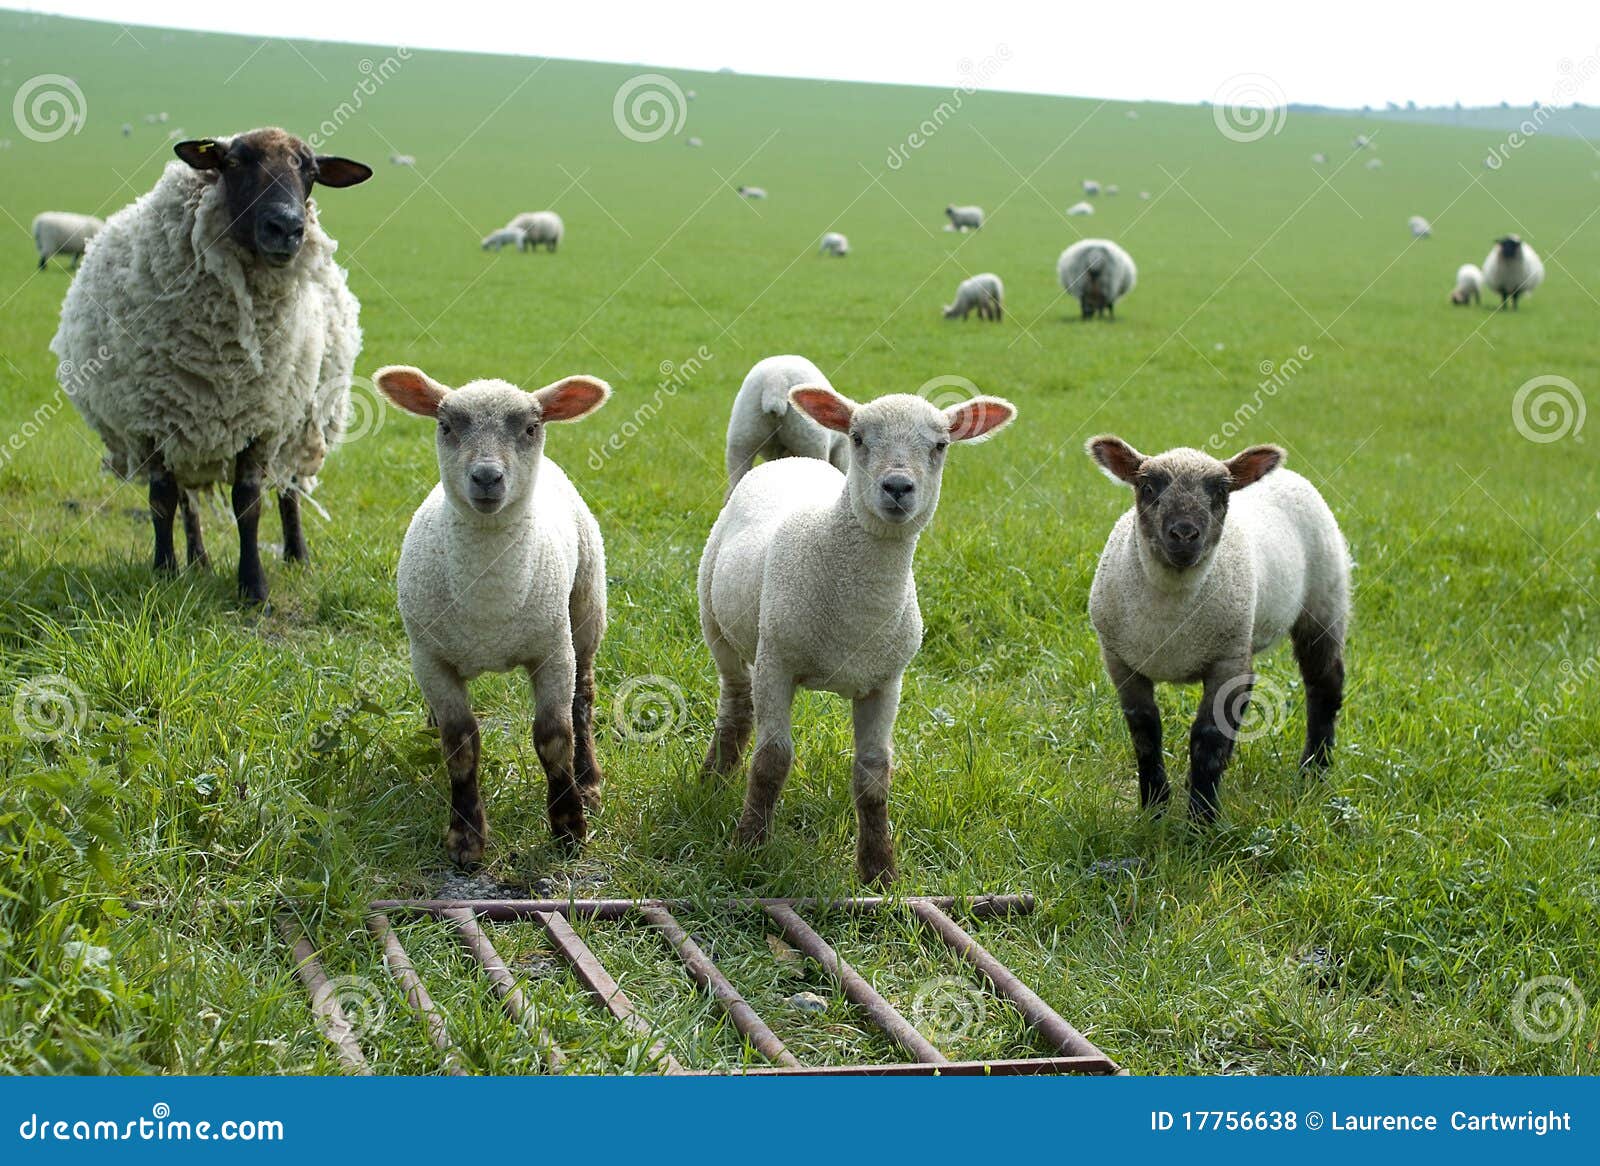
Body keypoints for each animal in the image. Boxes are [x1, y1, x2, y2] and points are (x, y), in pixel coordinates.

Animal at [50, 128, 373, 603]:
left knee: (290, 489)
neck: (220, 354)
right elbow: (162, 500)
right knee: (188, 499)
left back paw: (297, 556)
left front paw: (253, 587)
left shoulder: (263, 421)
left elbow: (248, 502)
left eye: (311, 171)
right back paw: (198, 560)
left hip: (302, 421)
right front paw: (165, 571)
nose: (287, 228)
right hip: (186, 431)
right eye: (233, 163)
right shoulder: (152, 421)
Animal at [374, 364, 611, 863]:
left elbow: (554, 737)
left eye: (530, 428)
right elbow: (460, 744)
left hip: (585, 609)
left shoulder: (552, 650)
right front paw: (465, 838)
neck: (489, 606)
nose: (486, 477)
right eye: (446, 426)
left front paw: (569, 826)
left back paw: (589, 782)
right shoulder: (431, 659)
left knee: (583, 698)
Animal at [699, 386, 1016, 884]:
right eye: (858, 438)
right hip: (716, 622)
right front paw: (749, 847)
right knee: (735, 700)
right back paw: (714, 776)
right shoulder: (777, 664)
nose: (898, 487)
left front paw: (879, 870)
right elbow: (772, 761)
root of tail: (792, 461)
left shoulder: (886, 682)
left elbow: (873, 775)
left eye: (940, 445)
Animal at [1085, 436, 1350, 822]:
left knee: (1325, 686)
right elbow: (1145, 732)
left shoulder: (1227, 662)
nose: (1184, 534)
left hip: (1324, 601)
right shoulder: (1121, 661)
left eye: (1221, 491)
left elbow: (1208, 737)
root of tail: (1287, 474)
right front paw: (1154, 808)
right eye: (1147, 488)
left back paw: (1314, 771)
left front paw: (1202, 819)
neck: (1169, 611)